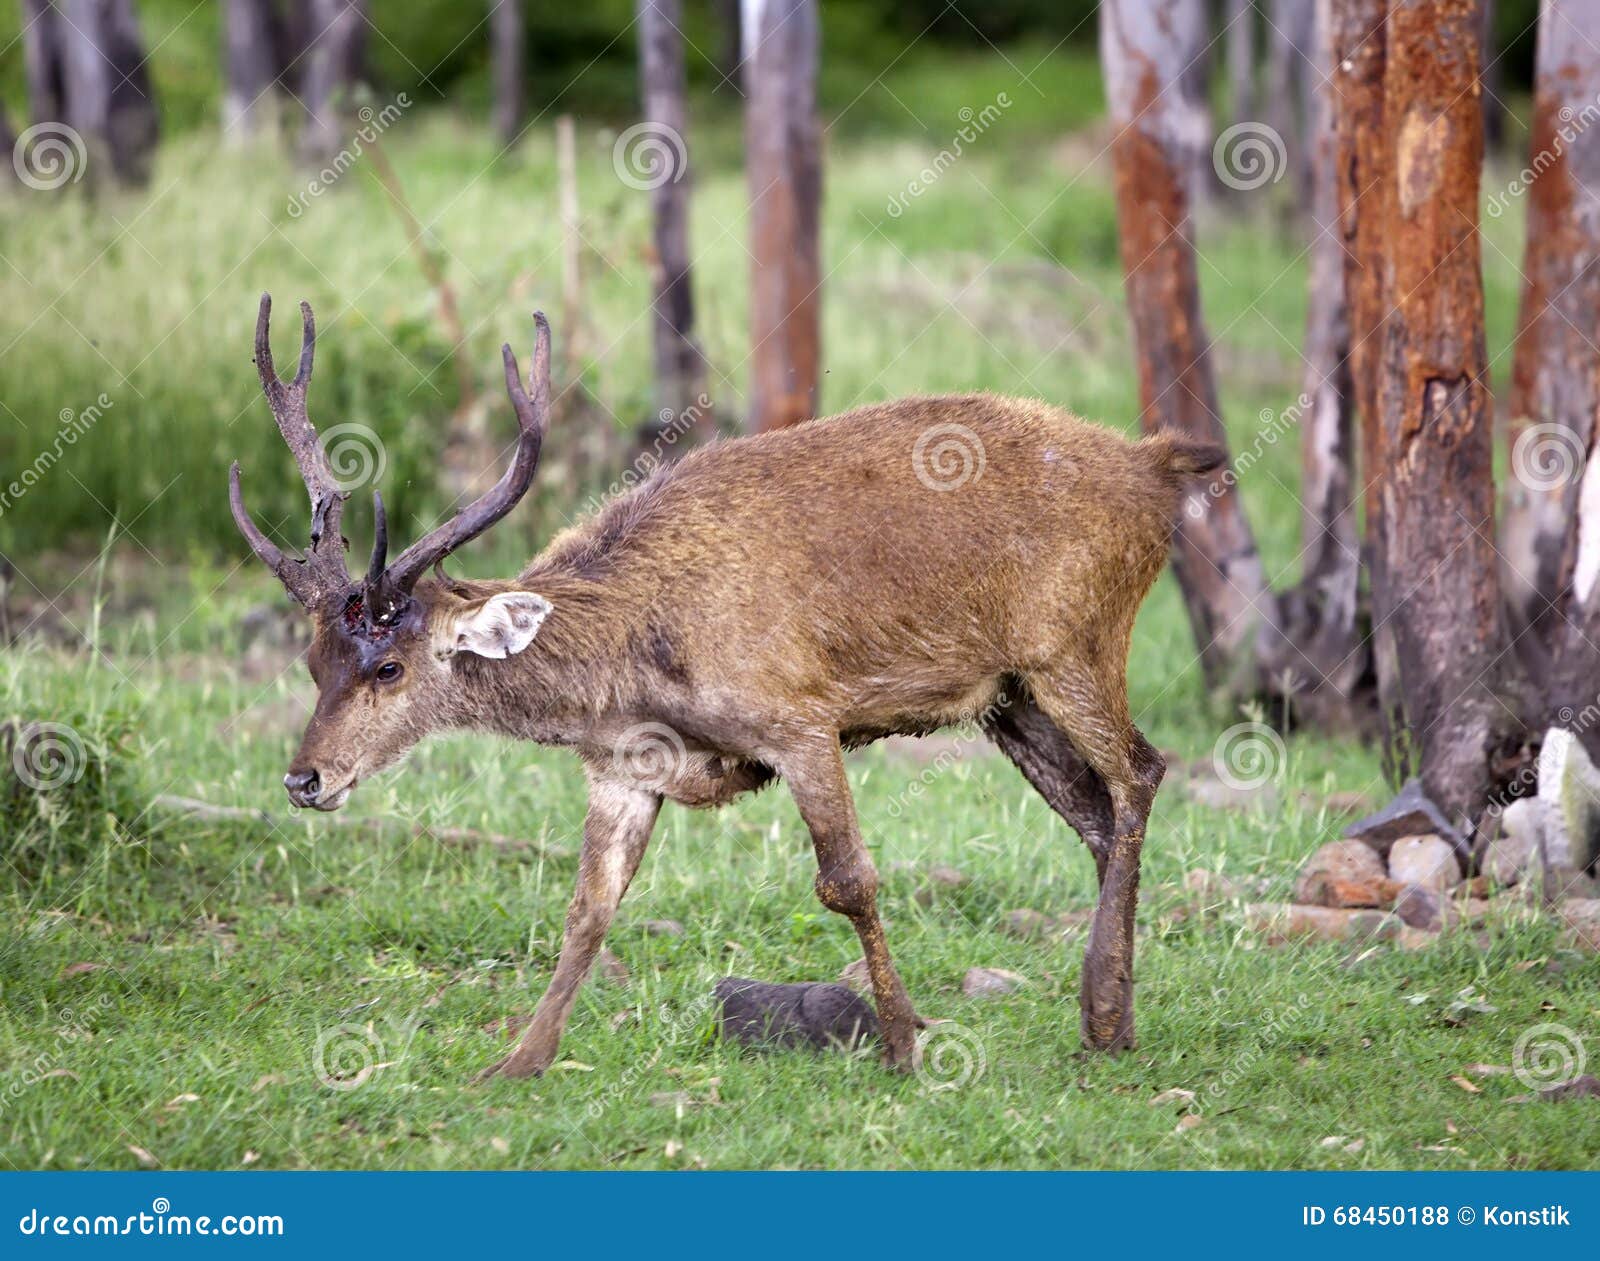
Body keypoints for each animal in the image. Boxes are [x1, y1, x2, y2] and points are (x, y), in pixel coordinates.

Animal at [229, 294, 1225, 1081]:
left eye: (389, 665)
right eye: (313, 661)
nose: (303, 778)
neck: (643, 668)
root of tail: (1157, 467)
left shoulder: (799, 715)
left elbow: (849, 880)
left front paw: (904, 1043)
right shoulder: (623, 768)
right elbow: (587, 908)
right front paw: (517, 1061)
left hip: (1078, 640)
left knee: (1141, 771)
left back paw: (1105, 1011)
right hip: (1007, 696)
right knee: (1095, 810)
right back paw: (1111, 1013)